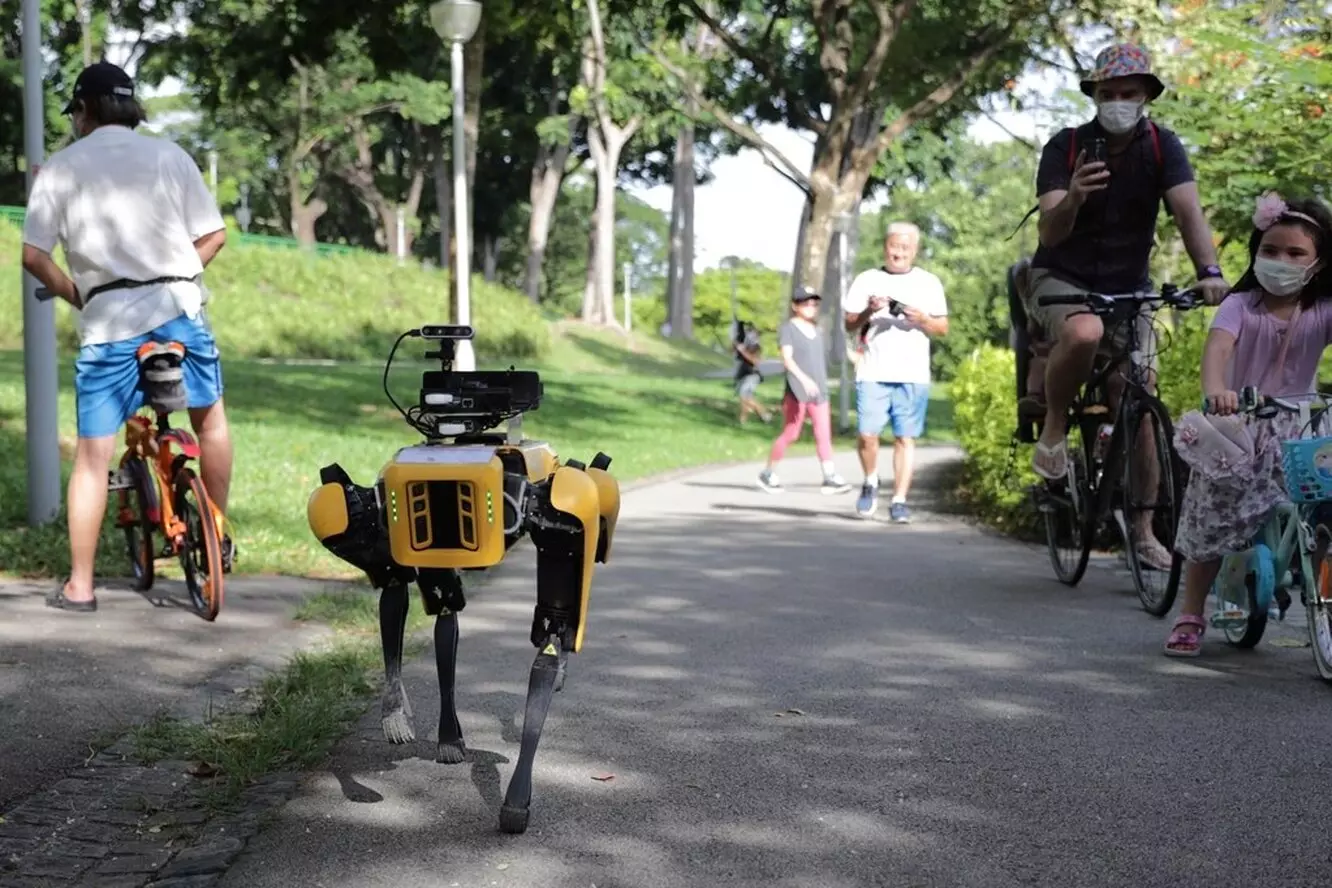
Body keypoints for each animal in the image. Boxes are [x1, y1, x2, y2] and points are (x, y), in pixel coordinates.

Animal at [305, 324, 618, 836]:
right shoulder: (369, 517)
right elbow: (393, 592)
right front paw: (396, 713)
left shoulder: (562, 506)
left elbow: (553, 631)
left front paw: (515, 798)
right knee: (441, 608)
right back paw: (448, 735)